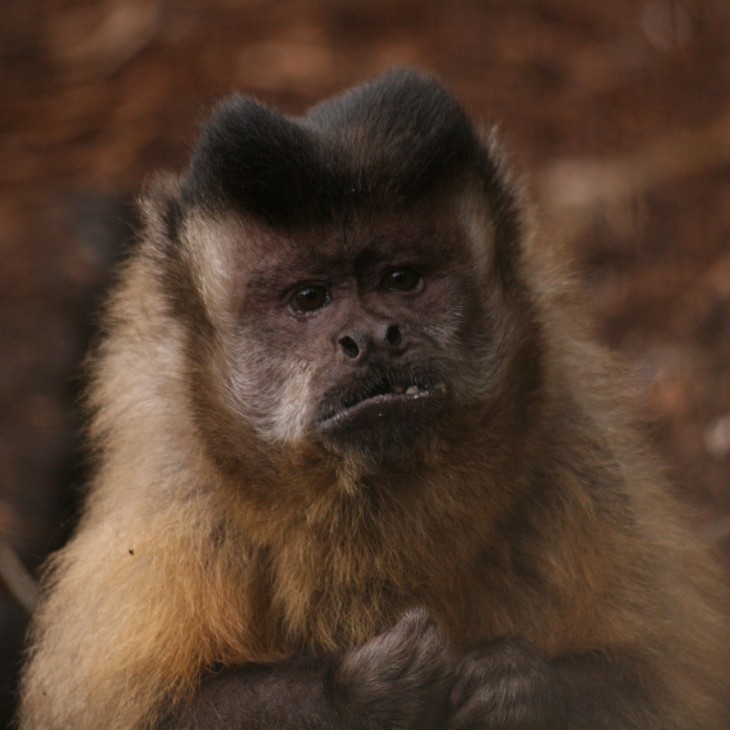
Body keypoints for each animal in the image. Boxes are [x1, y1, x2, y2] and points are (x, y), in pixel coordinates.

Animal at [18, 68, 730, 729]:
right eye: (310, 298)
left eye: (401, 279)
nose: (371, 337)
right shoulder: (178, 504)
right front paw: (359, 695)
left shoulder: (577, 457)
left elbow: (659, 688)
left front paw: (517, 688)